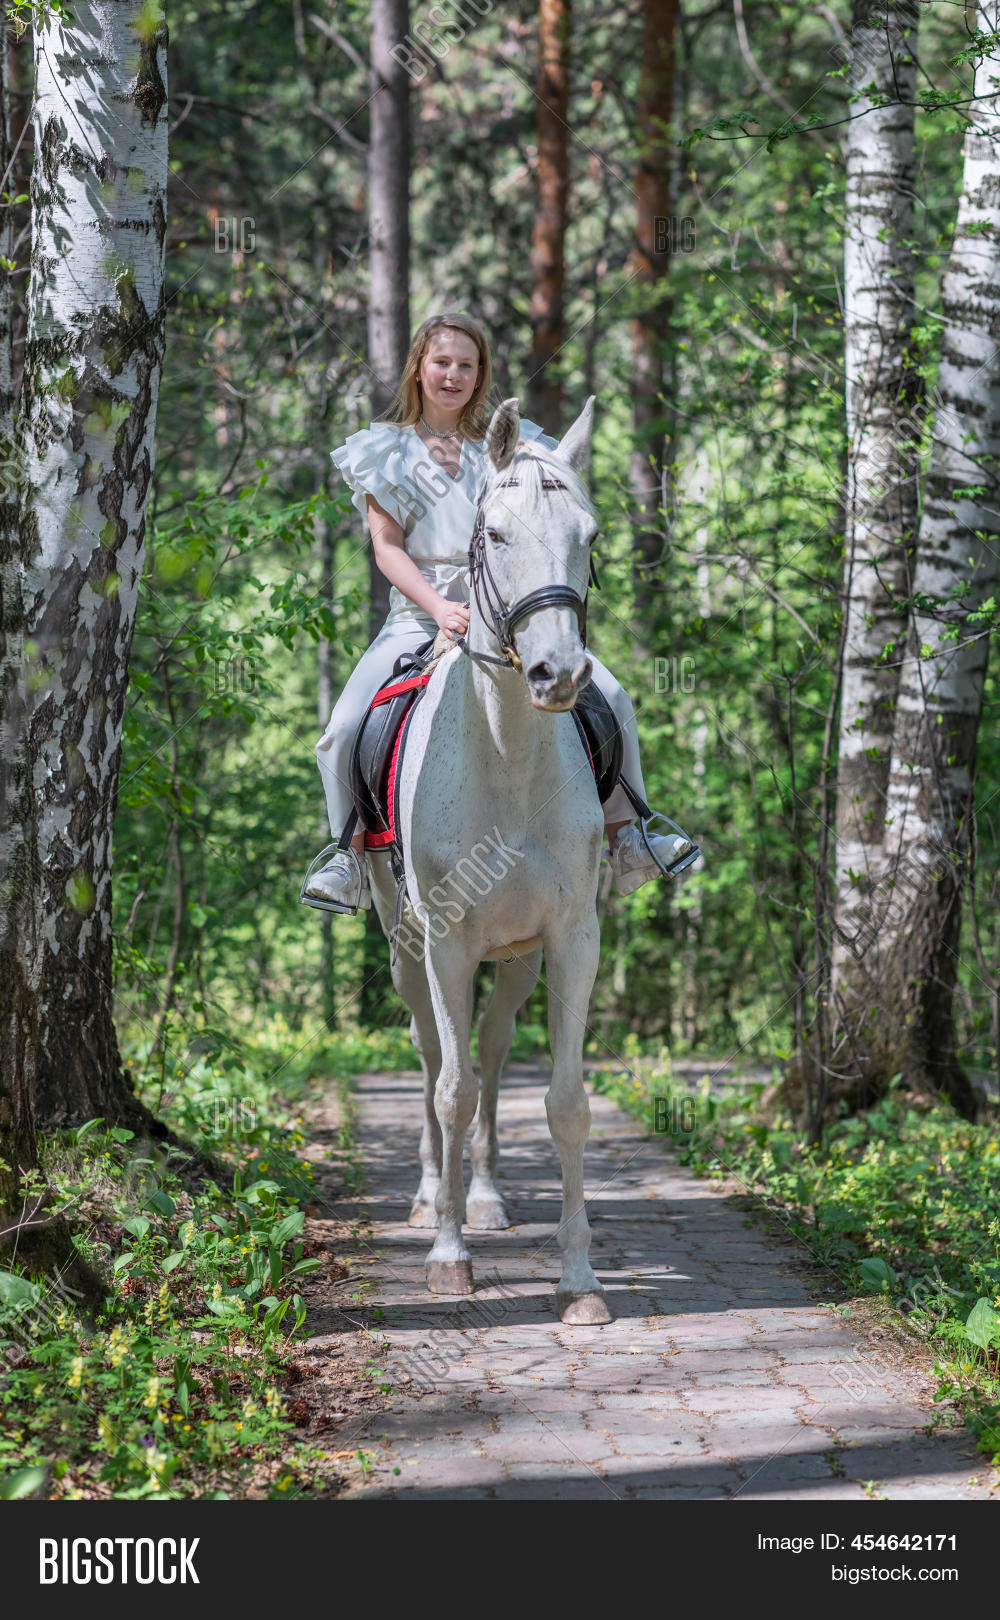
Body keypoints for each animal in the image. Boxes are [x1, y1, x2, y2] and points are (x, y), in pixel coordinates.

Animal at [367, 394, 610, 1325]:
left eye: (589, 534)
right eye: (496, 533)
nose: (556, 673)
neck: (507, 753)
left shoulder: (573, 937)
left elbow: (566, 1101)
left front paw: (579, 1280)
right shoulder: (444, 942)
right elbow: (450, 1087)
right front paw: (447, 1257)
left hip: (515, 960)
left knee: (497, 1050)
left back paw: (488, 1195)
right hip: (406, 947)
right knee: (437, 1055)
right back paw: (430, 1197)